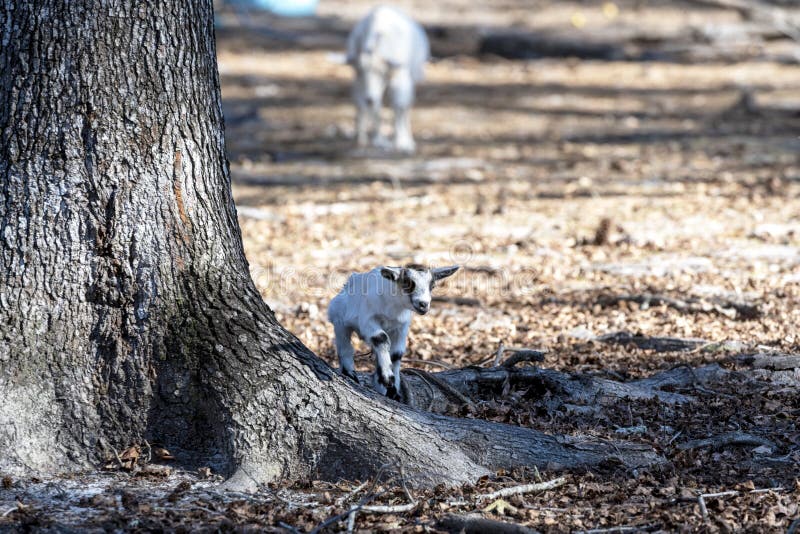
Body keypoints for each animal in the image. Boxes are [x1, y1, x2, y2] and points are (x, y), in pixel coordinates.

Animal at [327, 264, 459, 400]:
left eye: (432, 286)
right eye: (407, 283)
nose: (424, 305)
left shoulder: (401, 328)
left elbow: (396, 354)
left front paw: (393, 389)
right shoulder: (368, 320)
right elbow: (381, 338)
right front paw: (387, 377)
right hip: (339, 318)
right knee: (345, 346)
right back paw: (350, 373)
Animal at [346, 6, 430, 152]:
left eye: (381, 72)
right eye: (361, 72)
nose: (369, 99)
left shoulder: (400, 77)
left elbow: (399, 106)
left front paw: (402, 143)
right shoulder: (359, 79)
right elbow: (364, 105)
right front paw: (366, 139)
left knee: (405, 106)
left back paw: (408, 139)